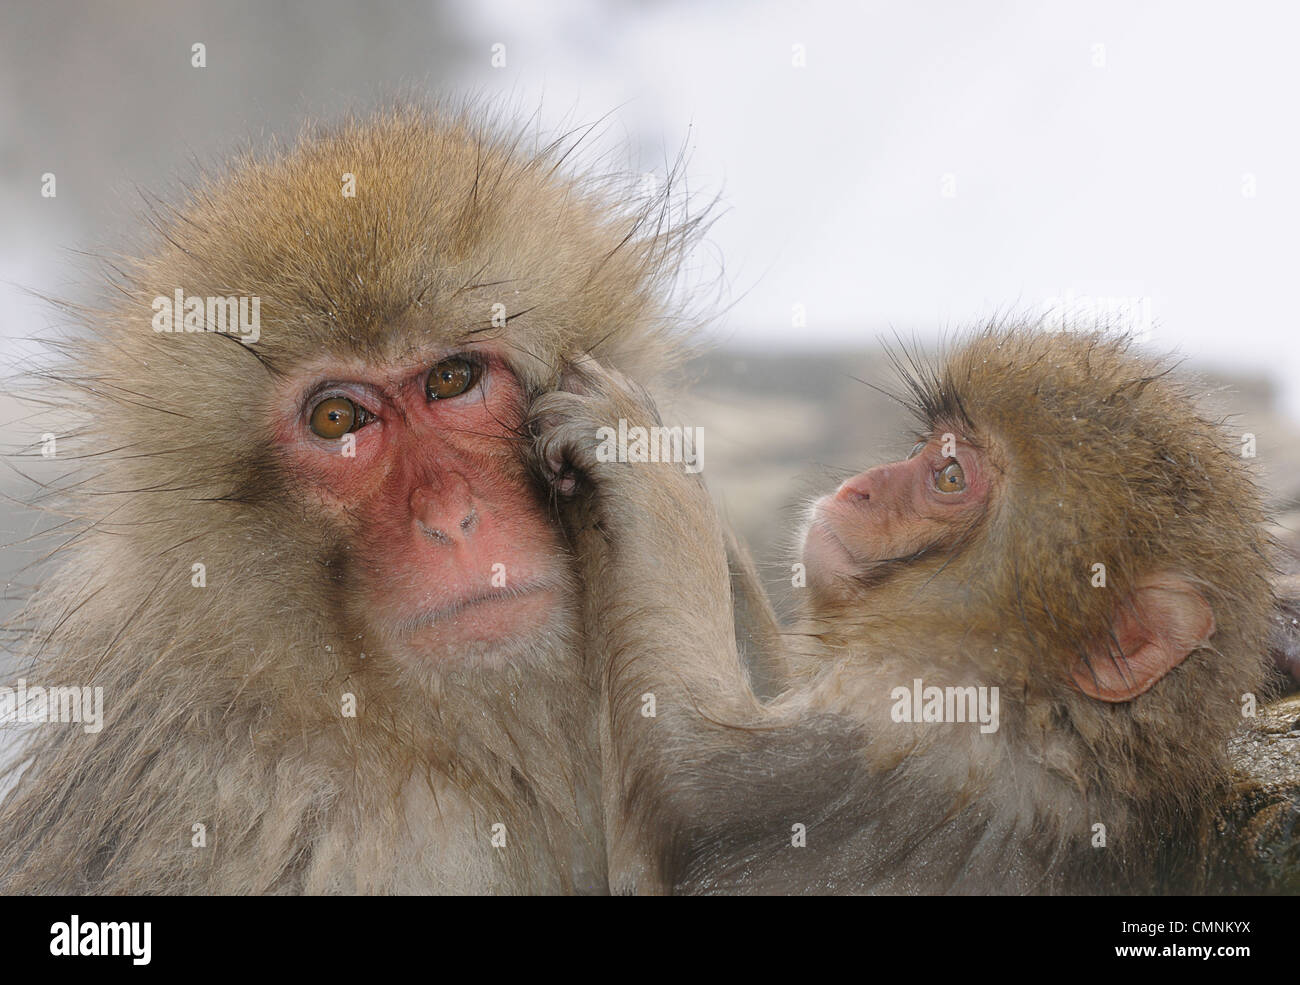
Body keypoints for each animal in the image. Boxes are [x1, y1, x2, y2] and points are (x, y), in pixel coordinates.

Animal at [530, 326, 1278, 894]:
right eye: (929, 448)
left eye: (947, 477)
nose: (859, 488)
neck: (1033, 707)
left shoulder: (902, 738)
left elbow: (683, 782)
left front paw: (626, 437)